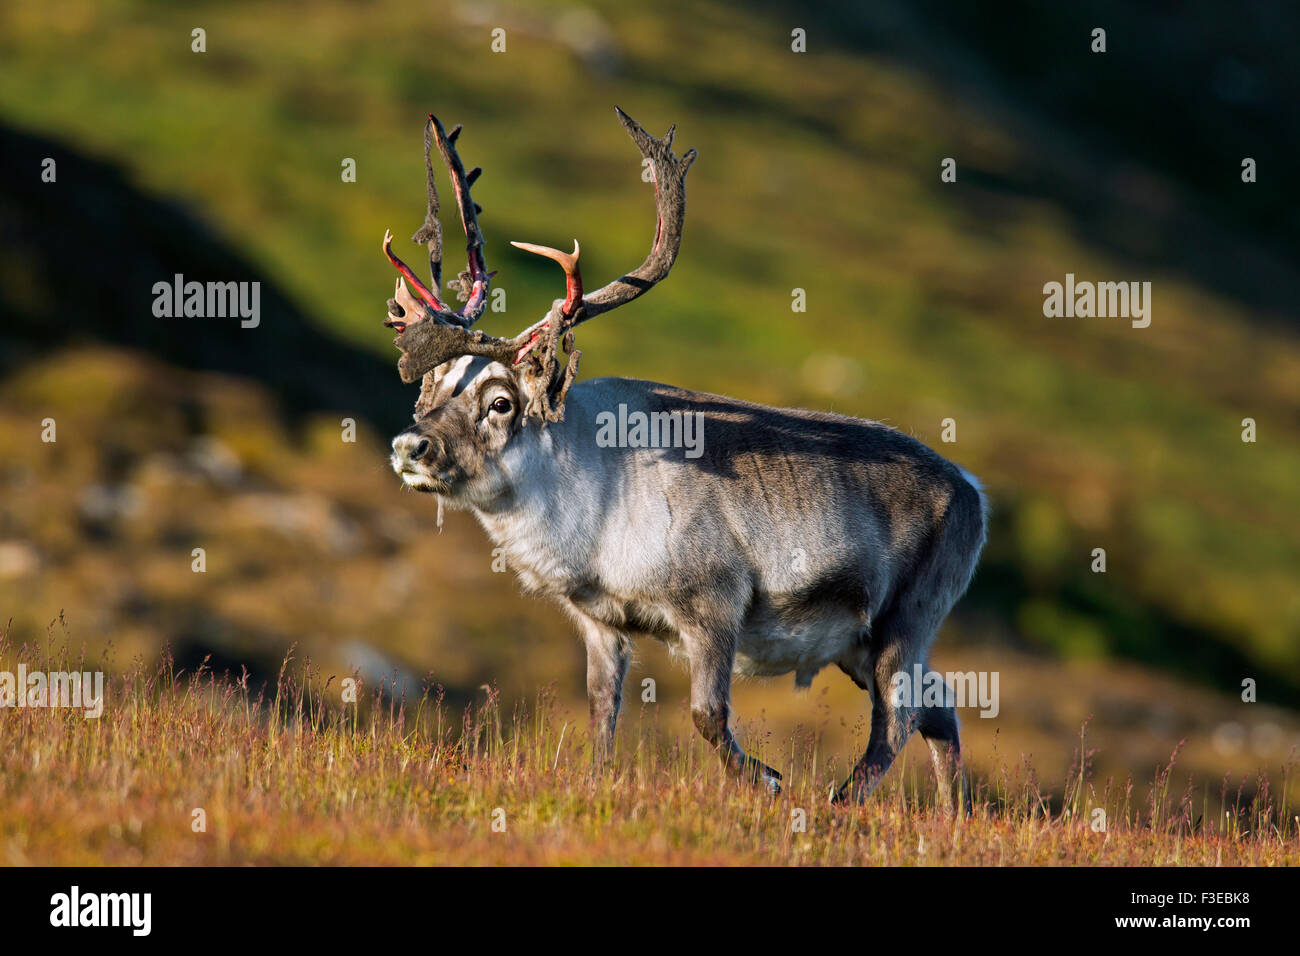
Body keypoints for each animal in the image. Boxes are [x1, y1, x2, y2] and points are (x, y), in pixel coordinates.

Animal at [380, 108, 987, 811]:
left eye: (501, 402)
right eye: (428, 392)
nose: (410, 446)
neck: (593, 501)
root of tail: (975, 494)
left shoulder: (713, 606)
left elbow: (706, 715)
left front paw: (768, 779)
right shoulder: (599, 619)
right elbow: (601, 712)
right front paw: (596, 784)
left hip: (906, 619)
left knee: (900, 718)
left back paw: (838, 803)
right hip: (860, 644)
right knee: (940, 710)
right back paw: (951, 817)